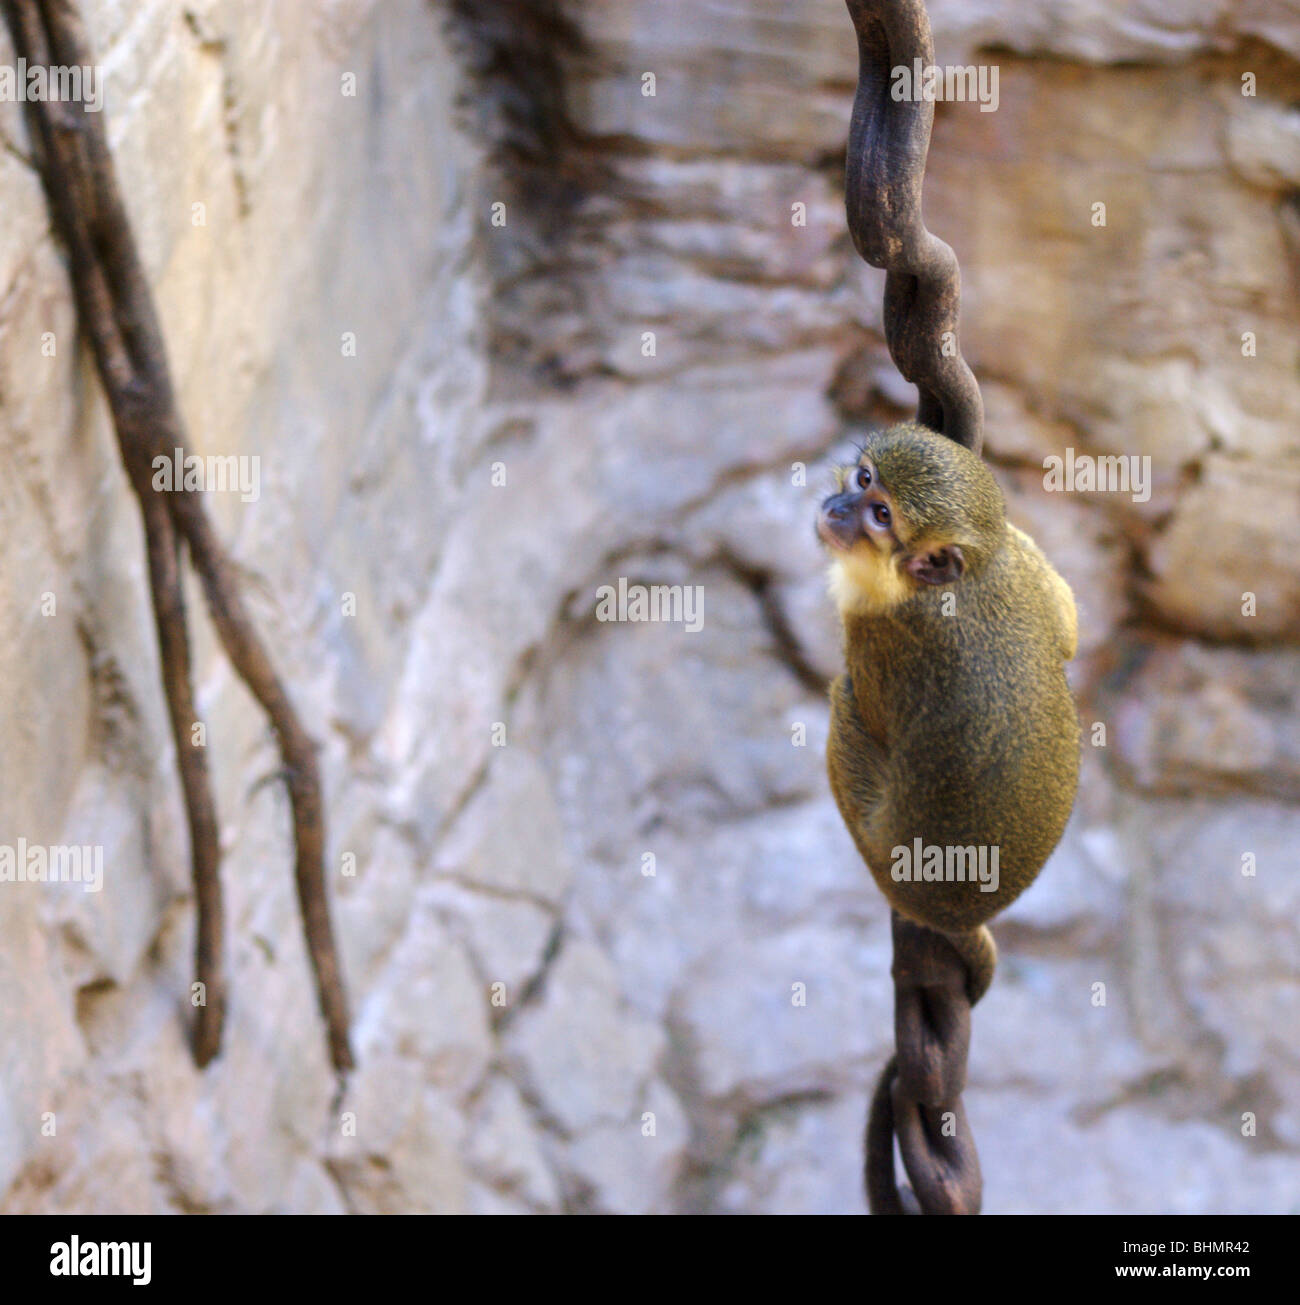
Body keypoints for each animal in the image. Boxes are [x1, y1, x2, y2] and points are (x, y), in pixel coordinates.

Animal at [820, 422, 1080, 1004]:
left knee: (842, 697)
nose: (836, 509)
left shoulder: (877, 625)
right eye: (863, 479)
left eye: (881, 514)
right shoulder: (1018, 567)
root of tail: (953, 914)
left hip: (875, 850)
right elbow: (1068, 631)